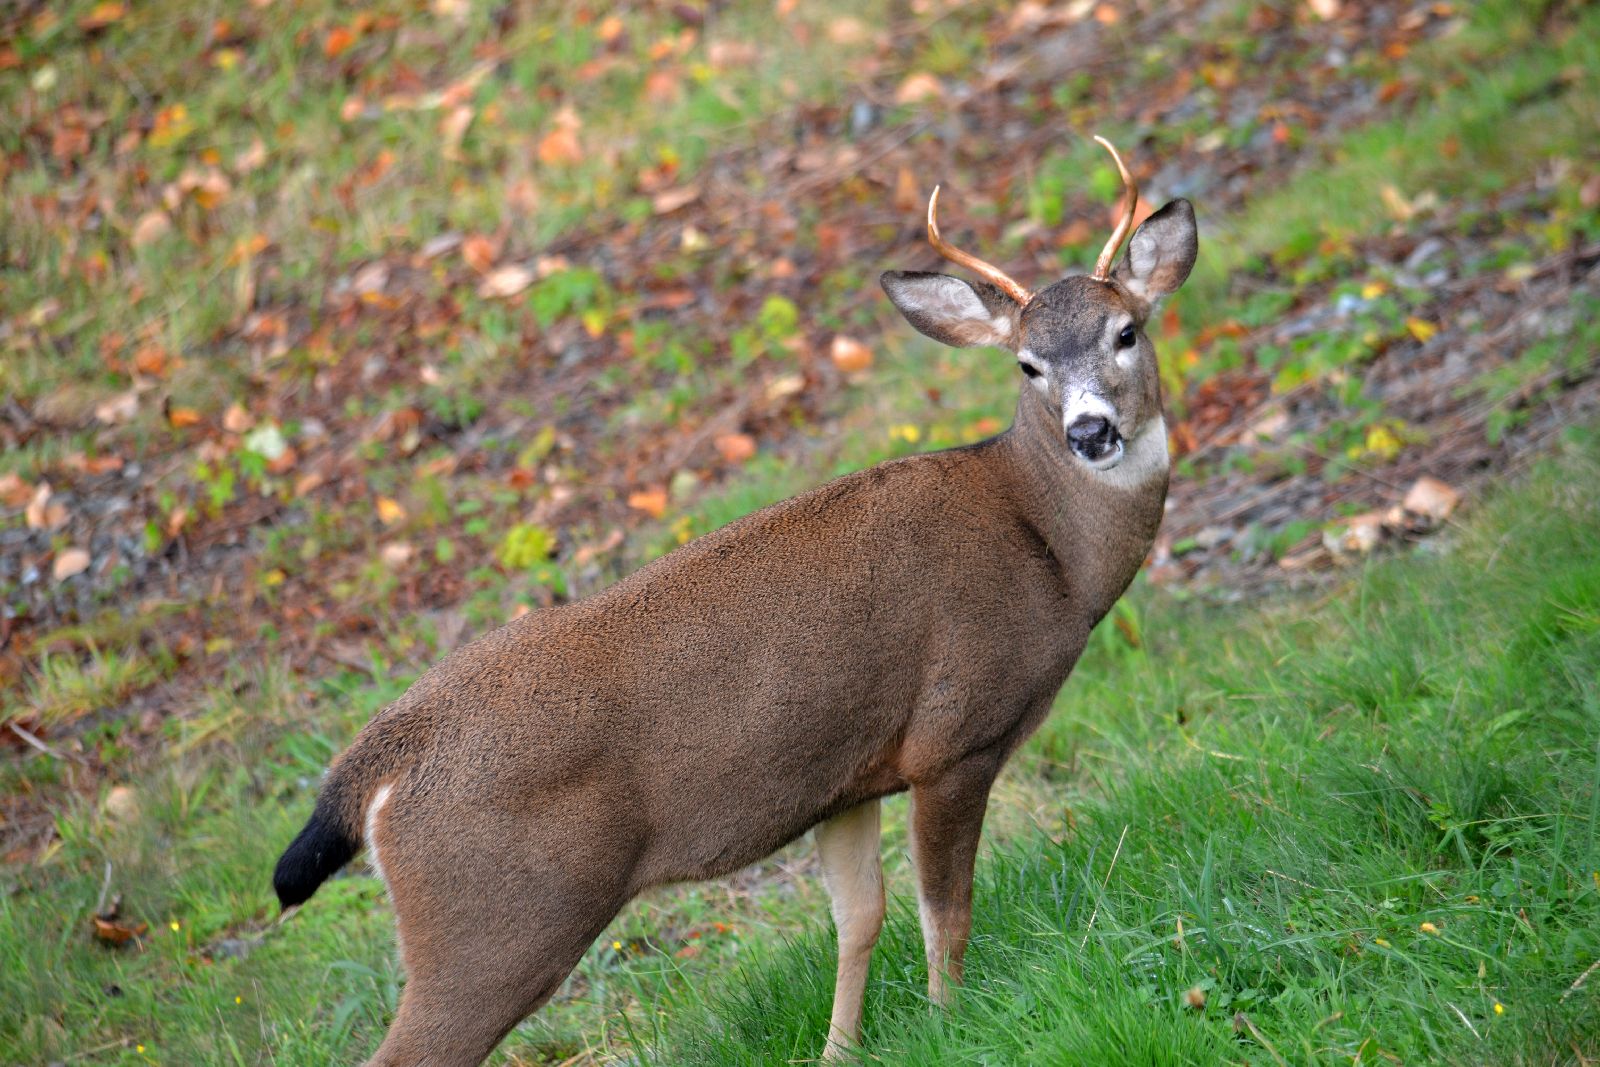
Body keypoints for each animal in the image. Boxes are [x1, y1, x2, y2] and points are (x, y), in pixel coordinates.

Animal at [273, 135, 1197, 1066]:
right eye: (1027, 363)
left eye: (1126, 331)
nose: (1090, 431)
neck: (1047, 545)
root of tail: (371, 766)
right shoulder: (952, 736)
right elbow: (947, 913)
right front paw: (950, 1020)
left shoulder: (848, 774)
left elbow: (861, 918)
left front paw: (840, 1049)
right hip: (495, 923)